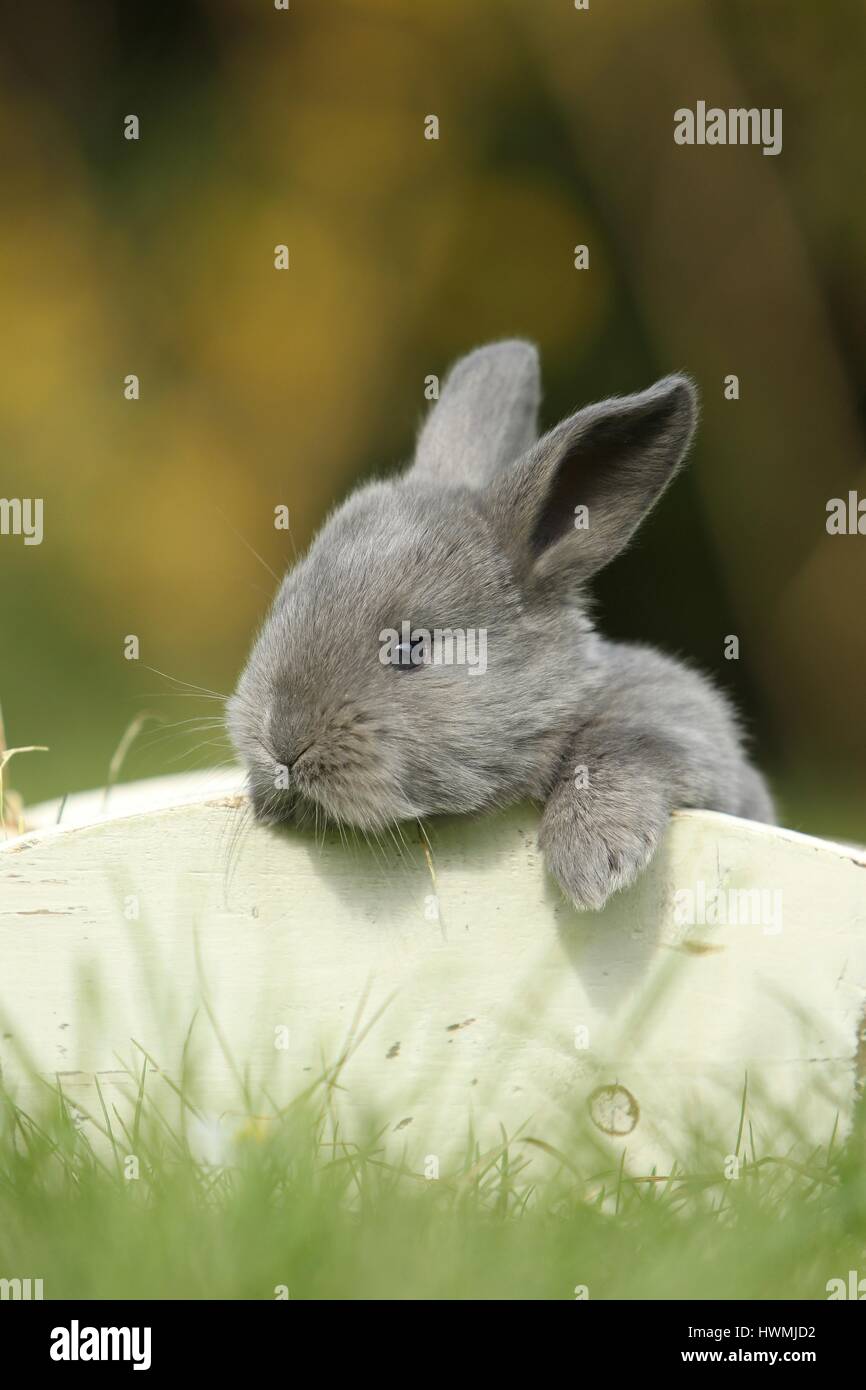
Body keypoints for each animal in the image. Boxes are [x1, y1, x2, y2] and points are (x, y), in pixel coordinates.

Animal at [227, 340, 774, 911]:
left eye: (410, 649)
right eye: (285, 602)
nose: (283, 743)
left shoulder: (683, 723)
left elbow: (625, 742)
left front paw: (589, 862)